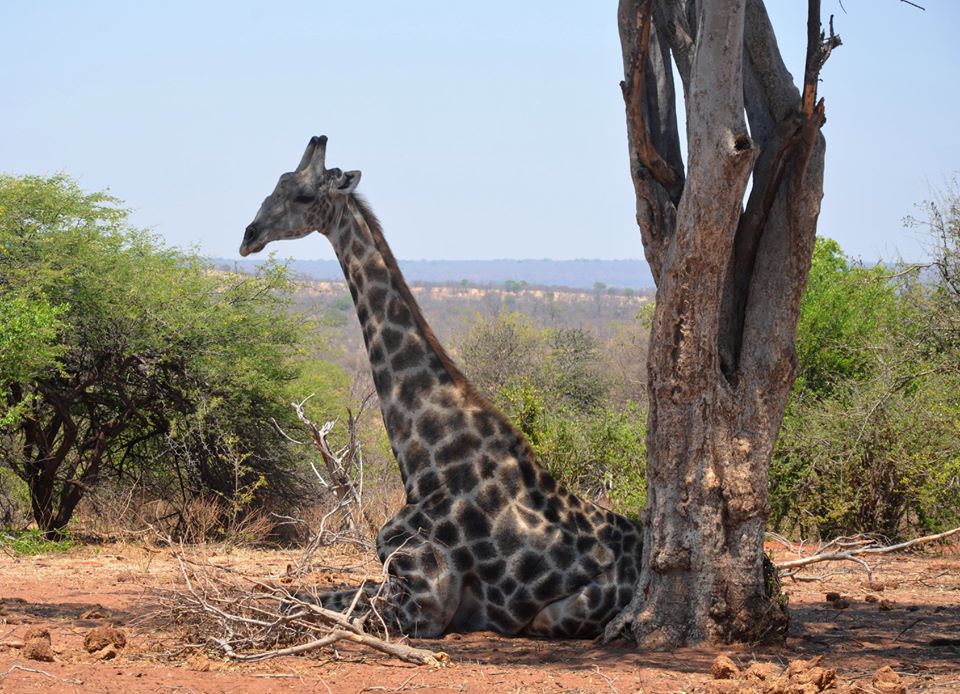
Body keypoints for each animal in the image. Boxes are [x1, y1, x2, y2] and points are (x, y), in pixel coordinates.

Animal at [240, 136, 642, 638]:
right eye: (277, 182)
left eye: (304, 196)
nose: (249, 236)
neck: (423, 464)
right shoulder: (392, 584)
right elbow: (294, 596)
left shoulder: (424, 606)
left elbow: (301, 605)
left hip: (556, 615)